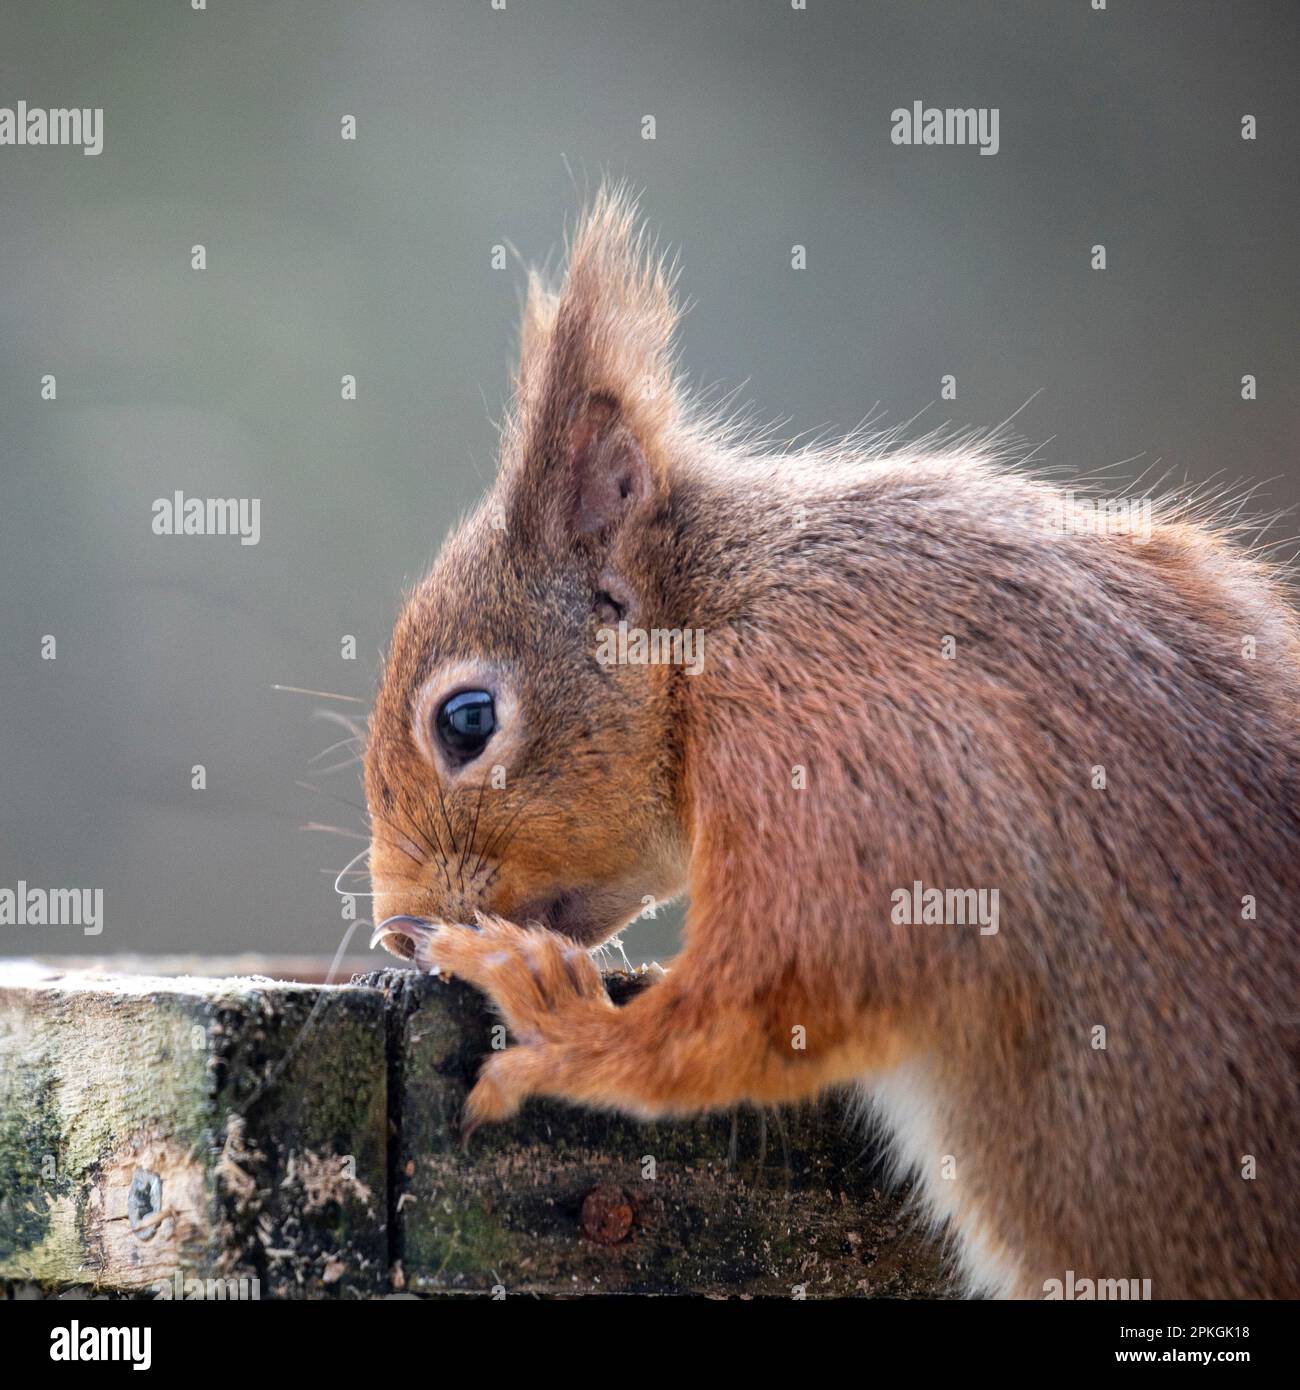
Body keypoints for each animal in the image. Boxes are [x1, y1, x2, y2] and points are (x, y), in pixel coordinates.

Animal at [364, 186, 1300, 1299]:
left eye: (465, 720)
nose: (396, 932)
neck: (717, 622)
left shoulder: (832, 742)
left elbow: (762, 1004)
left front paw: (555, 1021)